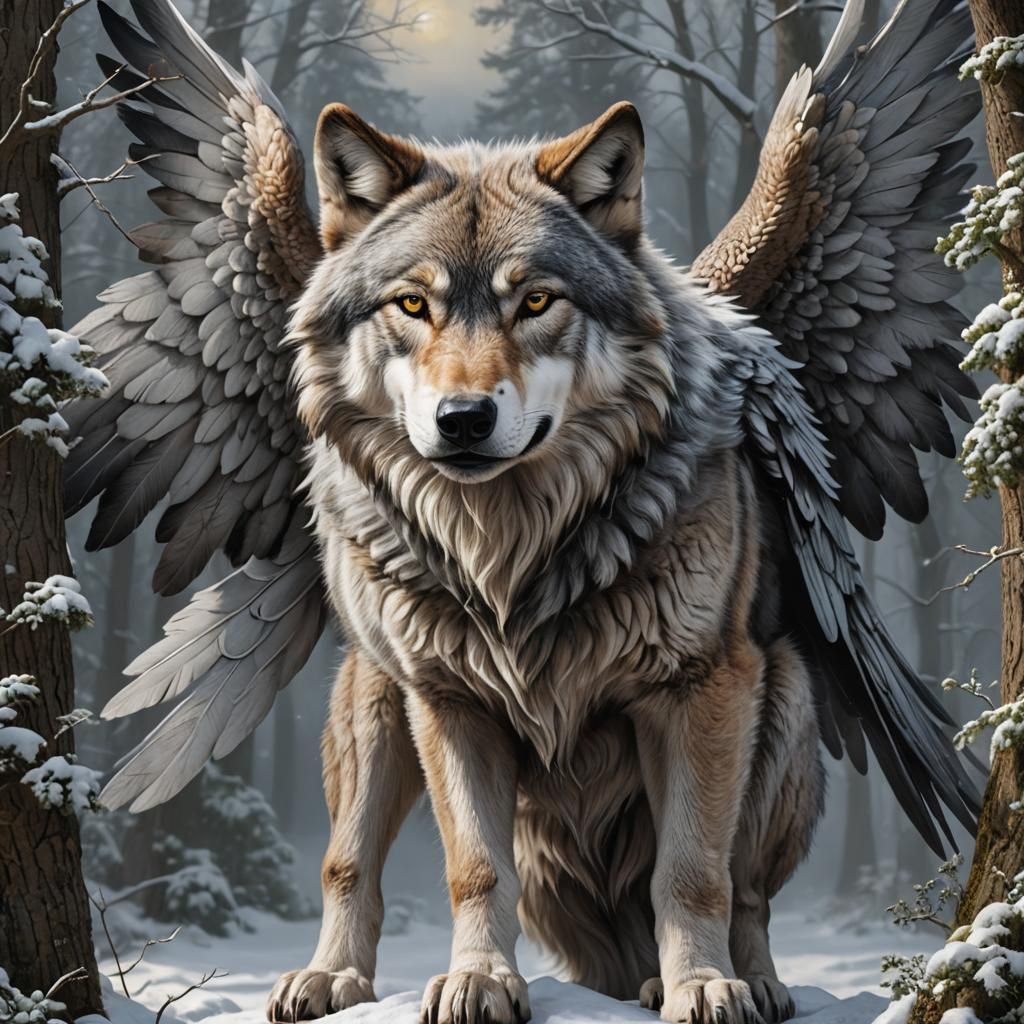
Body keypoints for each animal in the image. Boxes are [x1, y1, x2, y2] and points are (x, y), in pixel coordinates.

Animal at [64, 1, 981, 1023]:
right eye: (411, 305)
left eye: (536, 300)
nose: (463, 419)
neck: (509, 546)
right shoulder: (448, 701)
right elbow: (473, 868)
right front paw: (476, 982)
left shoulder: (703, 687)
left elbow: (692, 870)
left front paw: (704, 985)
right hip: (372, 700)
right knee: (347, 861)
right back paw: (330, 980)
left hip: (779, 698)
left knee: (745, 889)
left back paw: (742, 983)